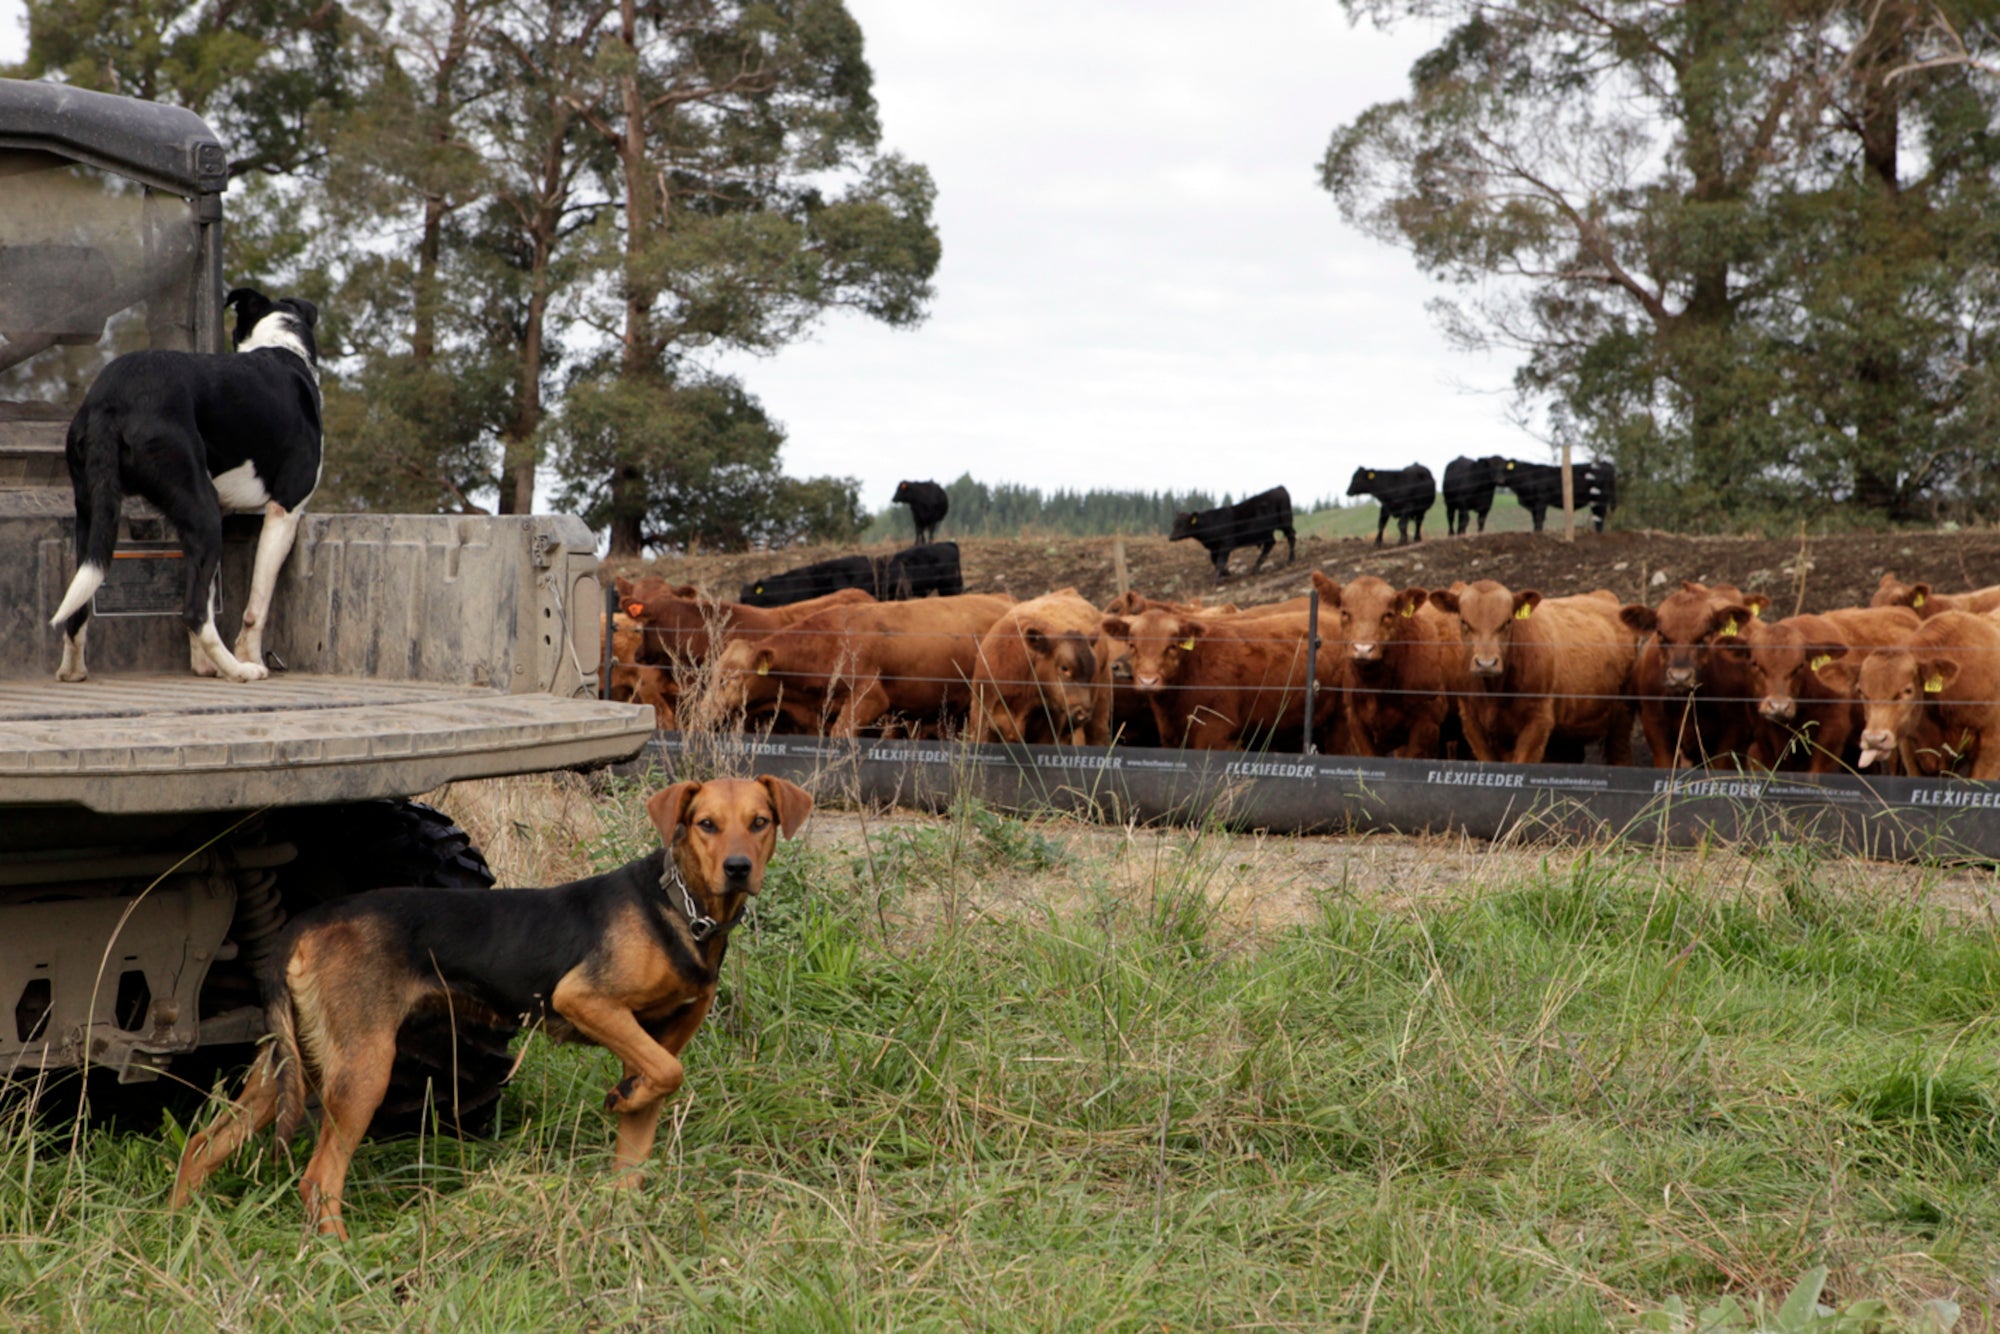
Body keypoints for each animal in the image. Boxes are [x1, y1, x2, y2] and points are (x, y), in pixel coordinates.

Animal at [1168, 486, 1297, 581]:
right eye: (1174, 523)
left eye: (1182, 524)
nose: (1171, 537)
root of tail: (1279, 488)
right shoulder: (1214, 547)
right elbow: (1214, 560)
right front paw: (1226, 573)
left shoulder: (1227, 542)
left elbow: (1220, 561)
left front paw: (1216, 579)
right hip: (1266, 531)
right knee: (1270, 543)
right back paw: (1256, 567)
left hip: (1285, 521)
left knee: (1291, 536)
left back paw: (1291, 560)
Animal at [1426, 581, 1637, 764]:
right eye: (1463, 621)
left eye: (1507, 621)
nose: (1486, 663)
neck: (1494, 694)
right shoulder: (1472, 724)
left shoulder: (1538, 721)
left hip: (1621, 716)